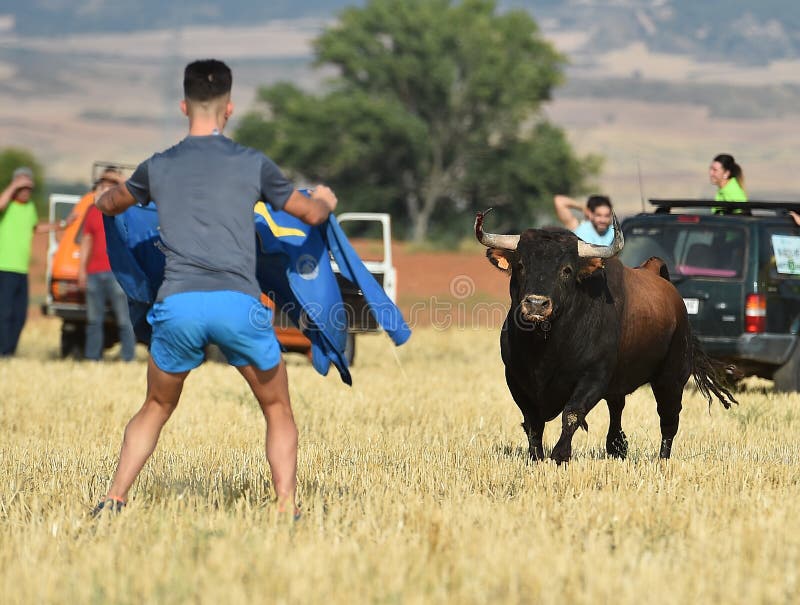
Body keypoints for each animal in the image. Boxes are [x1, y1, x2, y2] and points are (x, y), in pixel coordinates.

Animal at [475, 209, 736, 463]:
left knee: (668, 419)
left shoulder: (593, 377)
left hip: (671, 378)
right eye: (520, 265)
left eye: (566, 270)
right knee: (617, 407)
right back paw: (616, 447)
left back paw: (662, 459)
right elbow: (532, 423)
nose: (537, 304)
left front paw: (560, 455)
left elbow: (572, 414)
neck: (546, 346)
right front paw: (536, 457)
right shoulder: (516, 379)